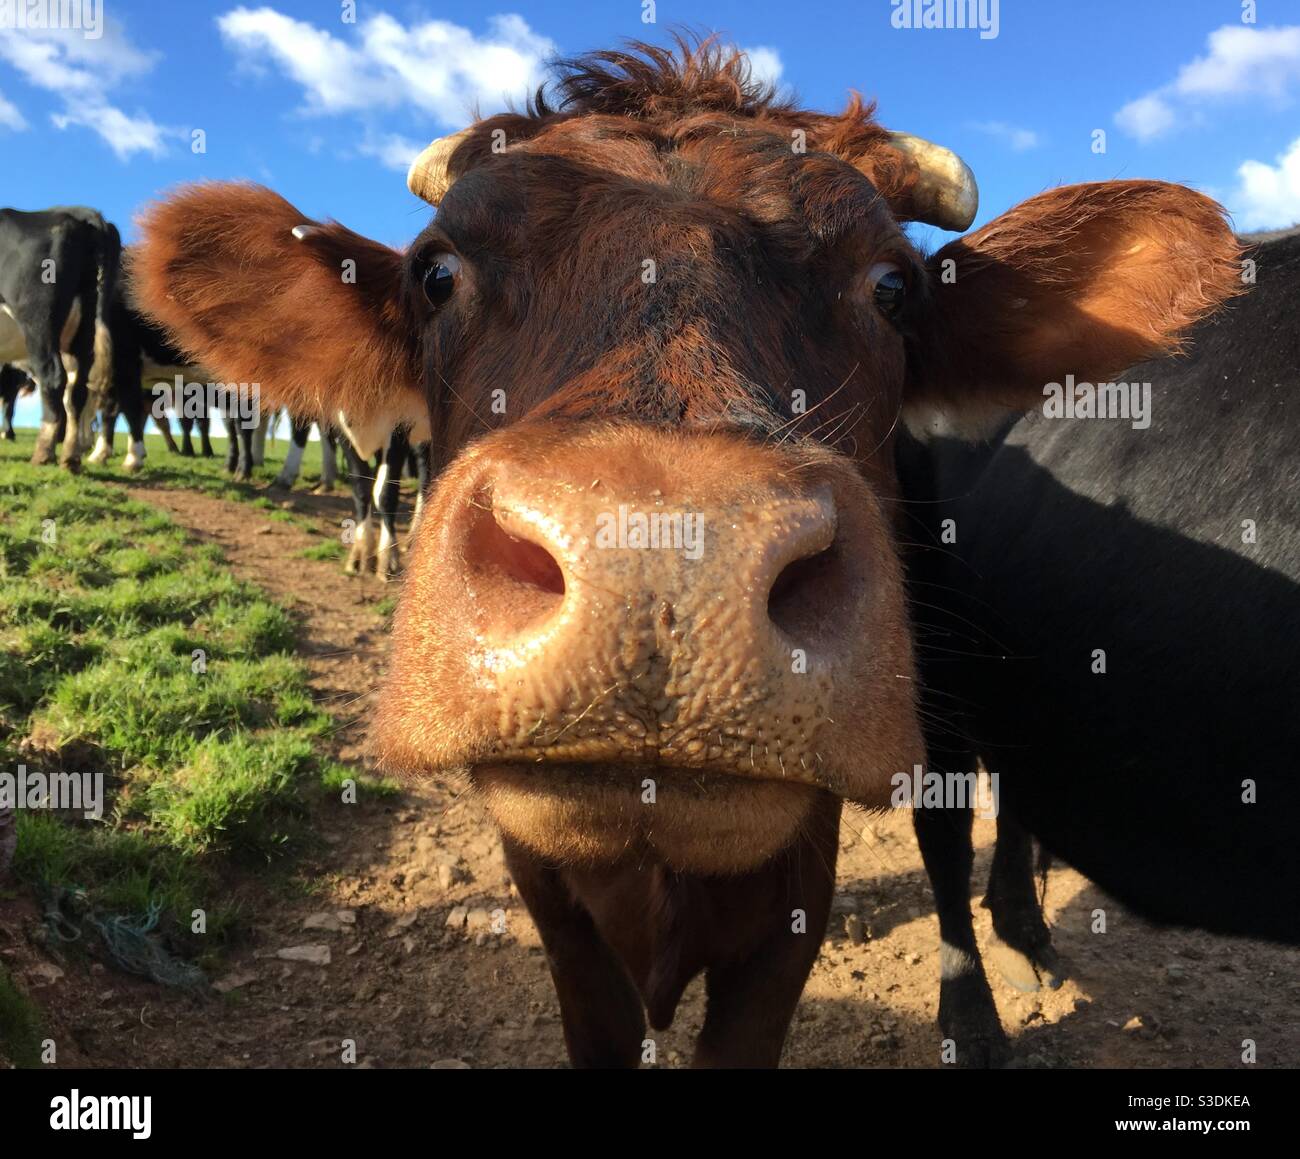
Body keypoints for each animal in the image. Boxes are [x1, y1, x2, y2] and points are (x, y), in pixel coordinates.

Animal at [0, 205, 119, 470]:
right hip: (84, 331)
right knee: (77, 390)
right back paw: (70, 457)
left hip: (38, 322)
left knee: (53, 378)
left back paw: (43, 453)